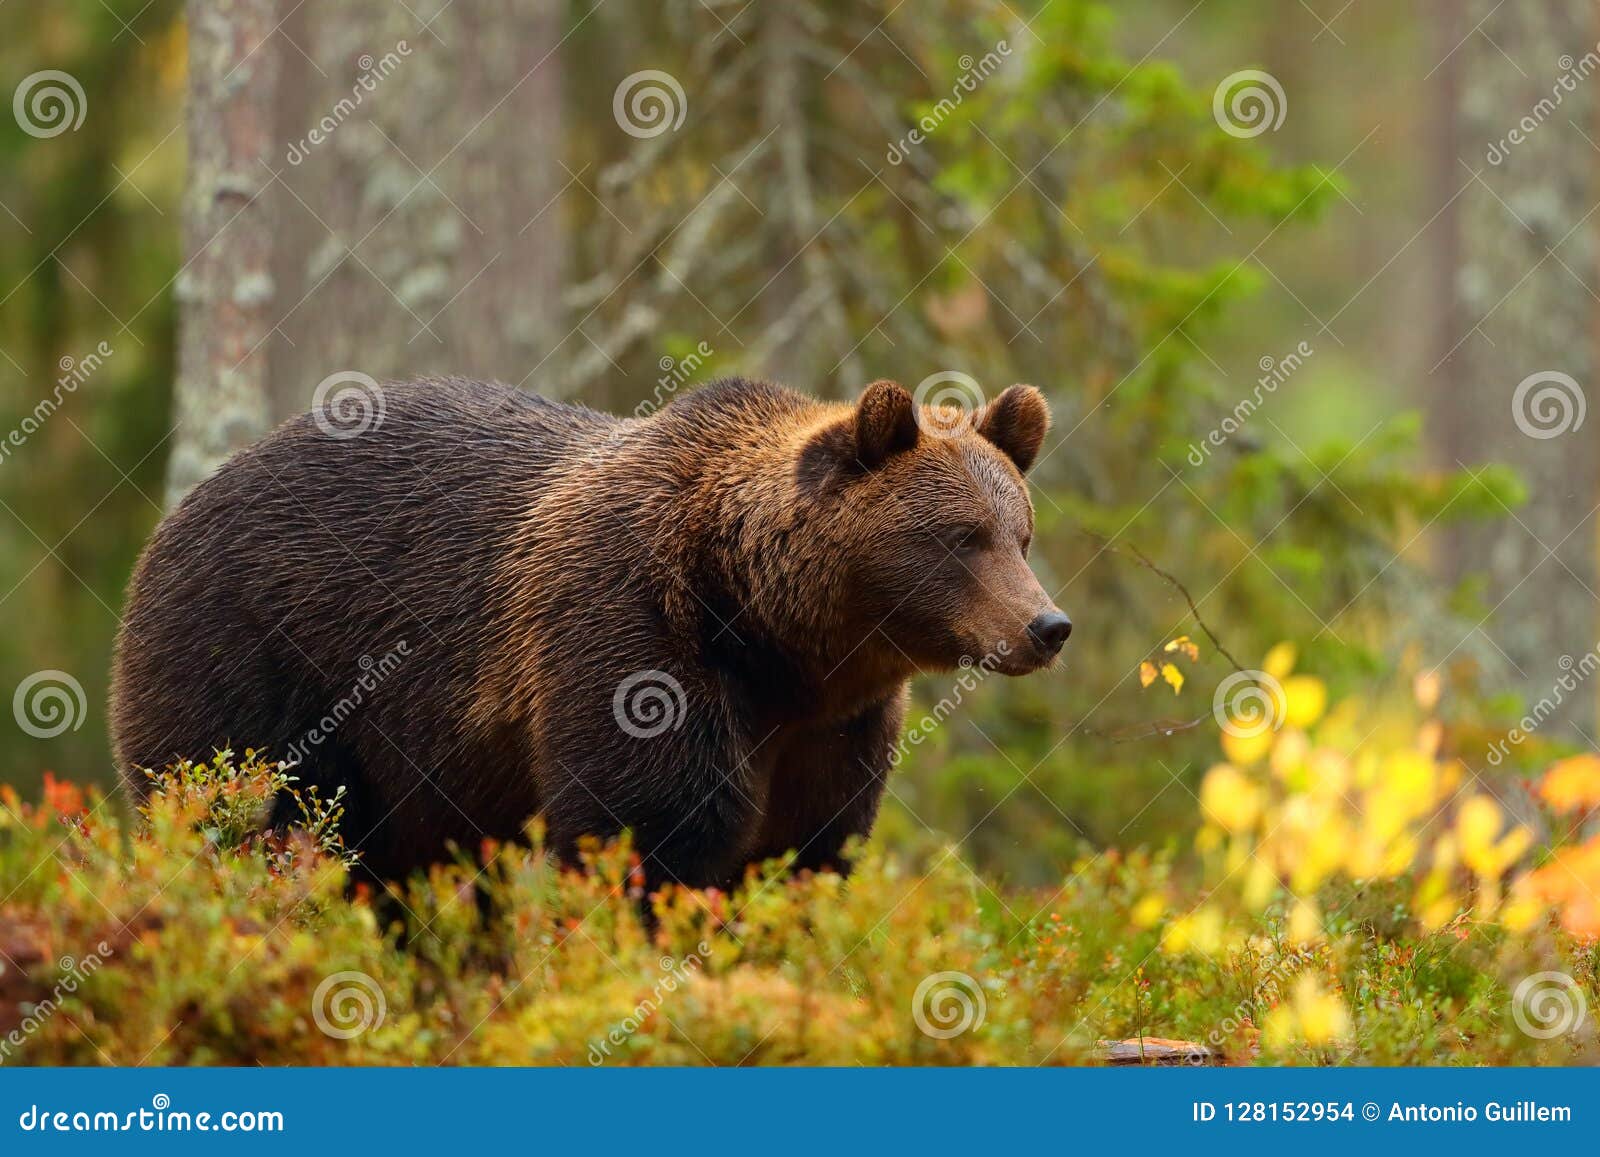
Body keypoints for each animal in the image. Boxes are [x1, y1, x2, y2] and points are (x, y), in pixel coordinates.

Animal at [110, 375, 1070, 890]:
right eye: (960, 536)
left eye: (1020, 532)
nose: (1047, 624)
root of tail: (175, 513)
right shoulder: (632, 645)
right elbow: (648, 830)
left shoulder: (832, 728)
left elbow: (804, 848)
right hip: (249, 658)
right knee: (238, 812)